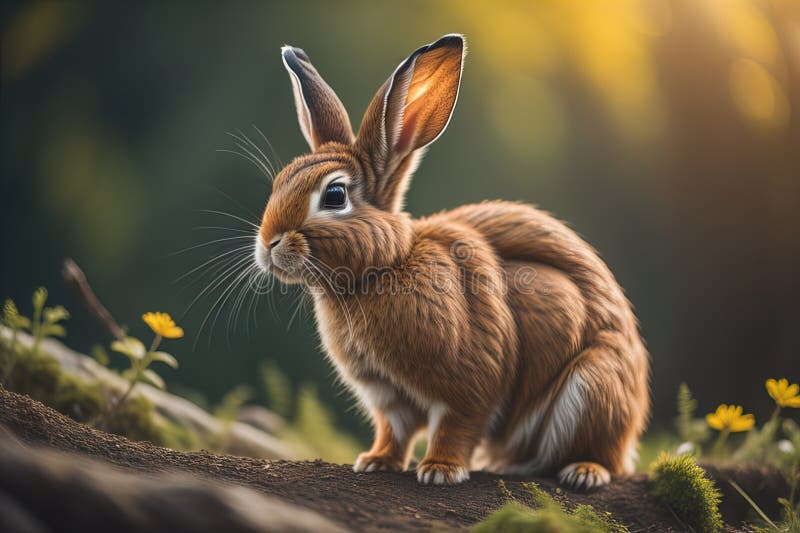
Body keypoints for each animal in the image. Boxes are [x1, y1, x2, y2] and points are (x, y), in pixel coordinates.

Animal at [254, 33, 650, 489]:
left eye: (334, 196)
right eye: (280, 182)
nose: (267, 244)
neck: (387, 266)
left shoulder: (470, 384)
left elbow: (454, 426)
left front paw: (439, 471)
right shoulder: (387, 396)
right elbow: (393, 430)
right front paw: (375, 461)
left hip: (593, 386)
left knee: (604, 454)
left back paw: (583, 472)